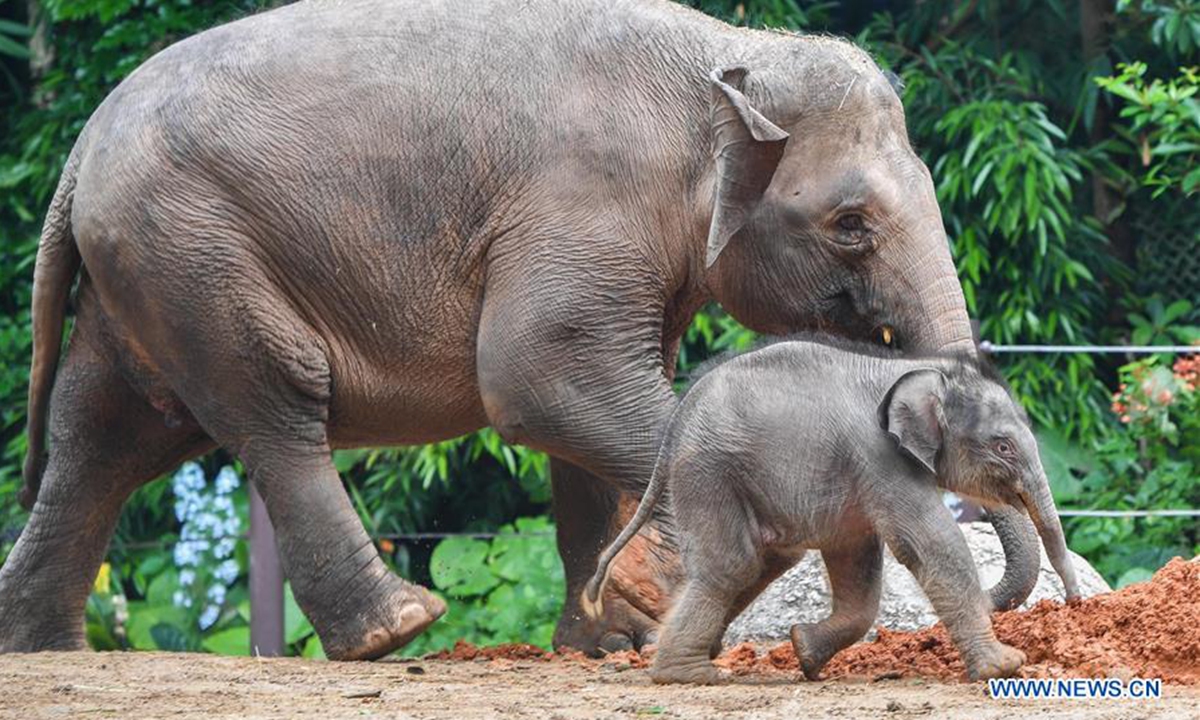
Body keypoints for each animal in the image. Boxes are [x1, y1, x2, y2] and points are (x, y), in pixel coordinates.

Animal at [0, 0, 1037, 660]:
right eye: (852, 224)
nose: (996, 597)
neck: (729, 52)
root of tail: (80, 146)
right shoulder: (586, 198)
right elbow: (541, 376)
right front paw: (656, 599)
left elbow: (579, 417)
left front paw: (609, 640)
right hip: (194, 249)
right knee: (274, 406)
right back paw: (398, 631)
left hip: (146, 264)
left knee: (107, 438)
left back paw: (44, 649)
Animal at [583, 336, 1081, 684]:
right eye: (1003, 446)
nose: (1076, 602)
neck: (909, 366)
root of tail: (674, 428)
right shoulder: (878, 455)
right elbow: (931, 544)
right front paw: (1005, 667)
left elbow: (857, 561)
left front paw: (804, 650)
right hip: (709, 471)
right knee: (732, 565)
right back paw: (688, 673)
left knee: (761, 562)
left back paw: (682, 656)